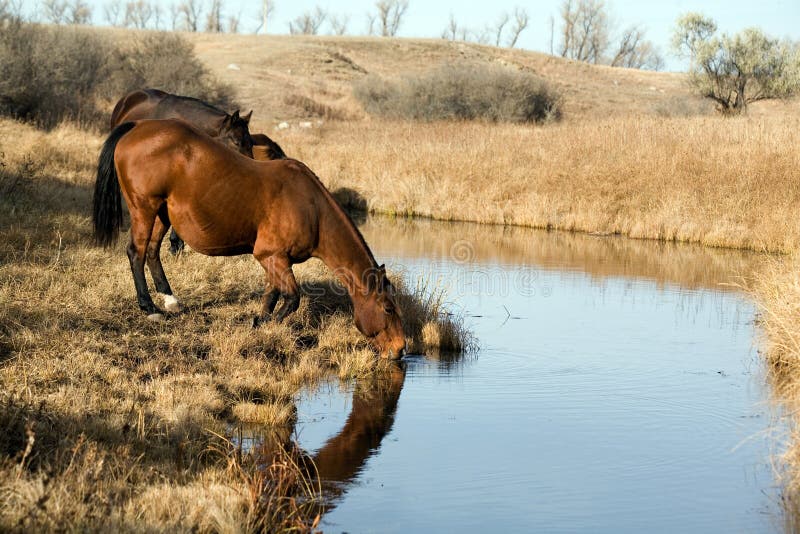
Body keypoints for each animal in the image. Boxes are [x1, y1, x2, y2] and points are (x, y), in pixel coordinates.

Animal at [92, 119, 406, 359]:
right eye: (388, 308)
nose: (400, 350)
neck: (311, 207)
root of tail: (137, 128)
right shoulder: (271, 256)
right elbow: (292, 298)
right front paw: (269, 326)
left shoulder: (275, 261)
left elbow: (272, 294)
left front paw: (259, 321)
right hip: (144, 209)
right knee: (136, 252)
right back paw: (149, 308)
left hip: (161, 215)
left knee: (153, 252)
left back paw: (170, 300)